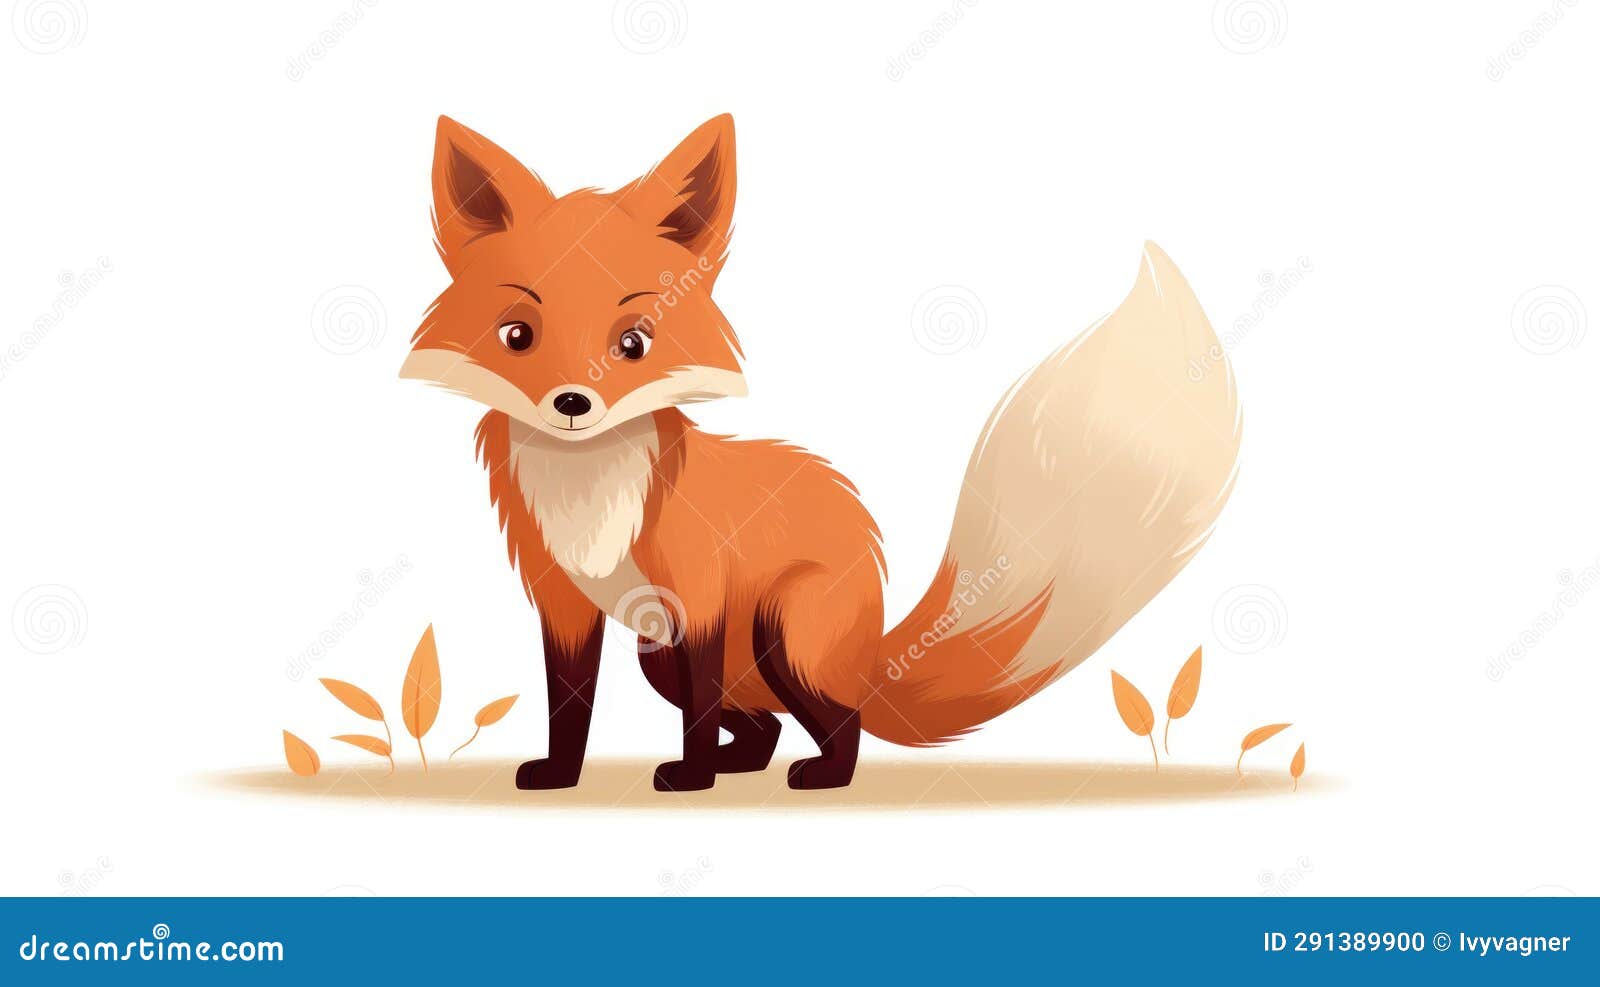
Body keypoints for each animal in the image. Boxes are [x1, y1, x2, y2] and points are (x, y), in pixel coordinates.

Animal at [401, 113, 1241, 791]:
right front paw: (560, 774)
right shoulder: (567, 603)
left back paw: (816, 773)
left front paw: (694, 779)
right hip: (656, 650)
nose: (573, 403)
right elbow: (568, 705)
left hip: (777, 634)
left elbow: (697, 710)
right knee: (767, 724)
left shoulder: (699, 598)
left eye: (633, 342)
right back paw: (745, 762)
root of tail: (871, 647)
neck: (589, 492)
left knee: (841, 720)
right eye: (518, 335)